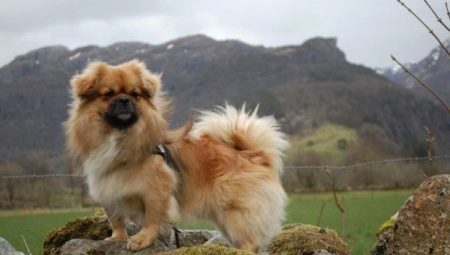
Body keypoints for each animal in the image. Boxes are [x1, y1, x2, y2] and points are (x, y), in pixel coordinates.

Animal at [64, 59, 286, 253]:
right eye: (108, 94)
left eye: (135, 94)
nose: (125, 100)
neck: (121, 137)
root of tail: (252, 152)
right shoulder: (108, 187)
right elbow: (115, 219)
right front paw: (116, 238)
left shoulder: (156, 189)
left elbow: (152, 217)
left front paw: (142, 239)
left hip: (235, 215)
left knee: (250, 243)